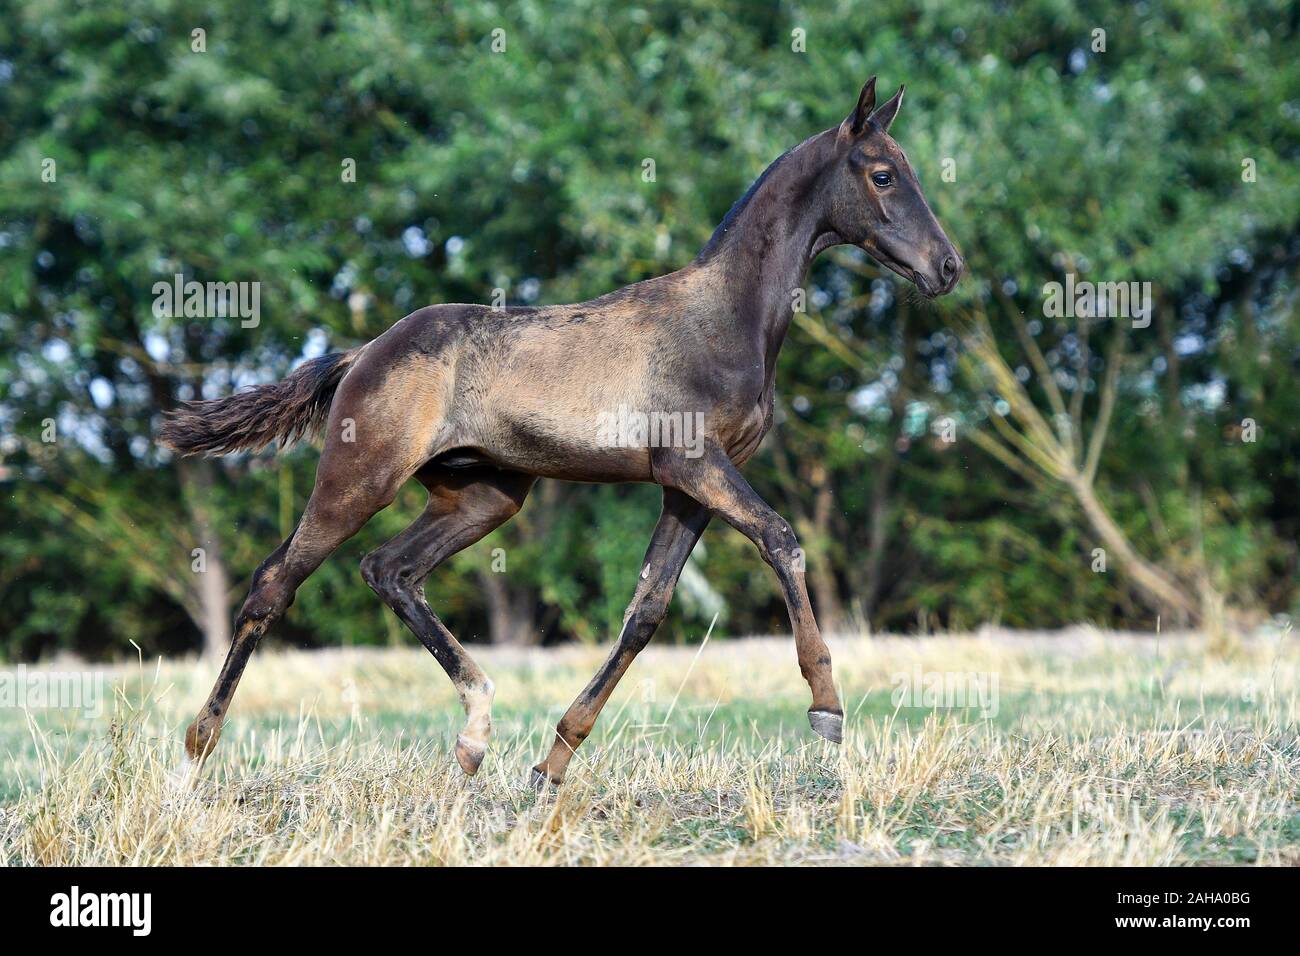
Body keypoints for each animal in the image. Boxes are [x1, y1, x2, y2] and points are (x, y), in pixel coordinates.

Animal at [160, 77, 962, 786]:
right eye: (884, 174)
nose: (948, 267)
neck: (723, 317)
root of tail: (363, 353)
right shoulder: (695, 464)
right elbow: (781, 538)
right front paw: (826, 707)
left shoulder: (689, 487)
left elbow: (646, 611)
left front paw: (553, 761)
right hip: (359, 480)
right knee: (275, 582)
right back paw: (194, 756)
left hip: (483, 496)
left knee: (390, 570)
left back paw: (475, 738)